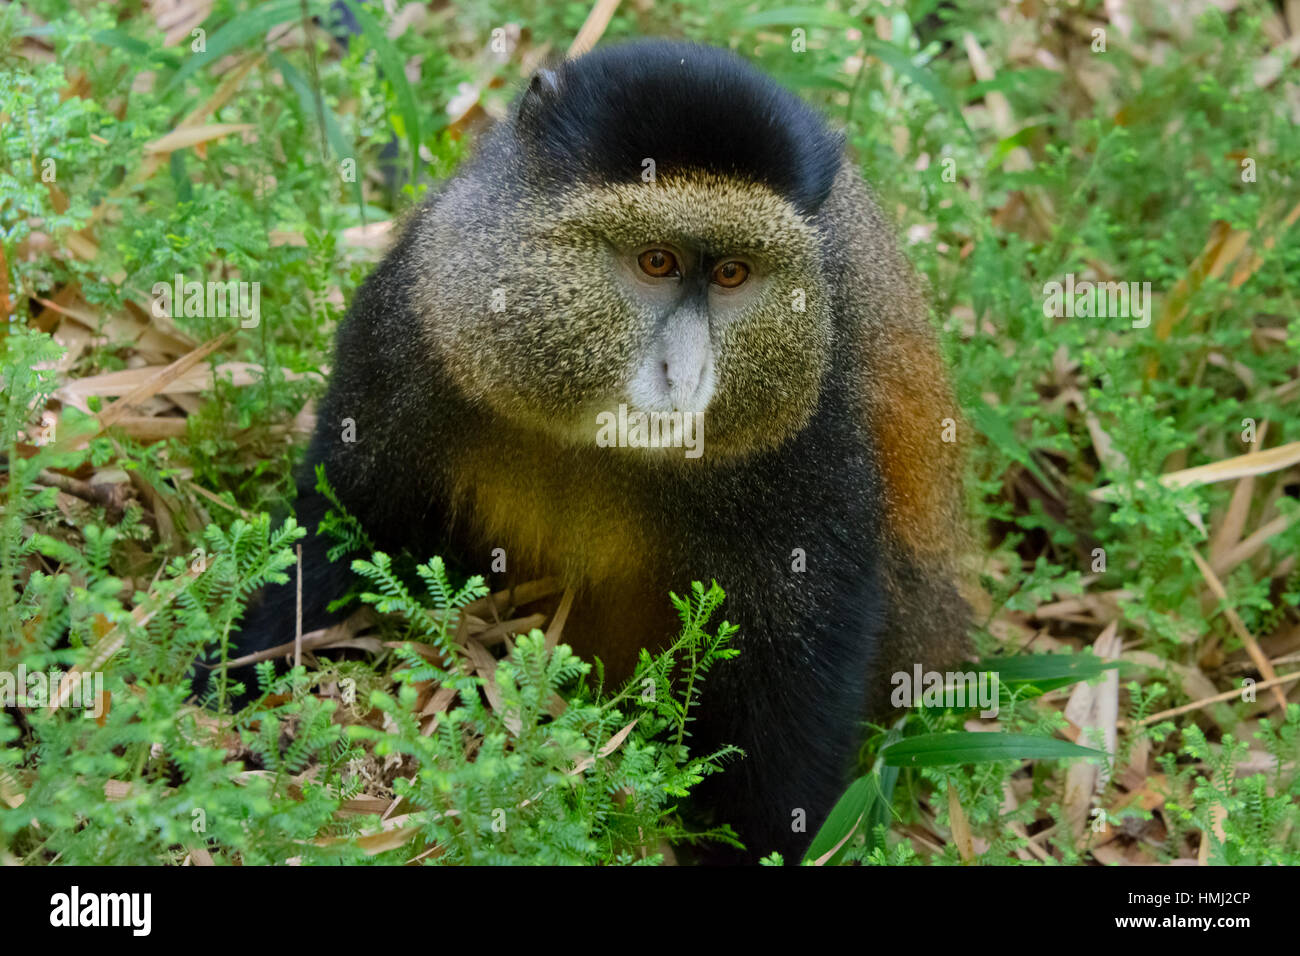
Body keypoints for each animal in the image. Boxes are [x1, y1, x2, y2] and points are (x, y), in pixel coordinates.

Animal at [197, 39, 972, 864]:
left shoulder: (812, 432)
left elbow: (803, 658)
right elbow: (342, 519)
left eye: (733, 273)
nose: (684, 375)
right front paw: (223, 690)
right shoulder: (410, 322)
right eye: (657, 262)